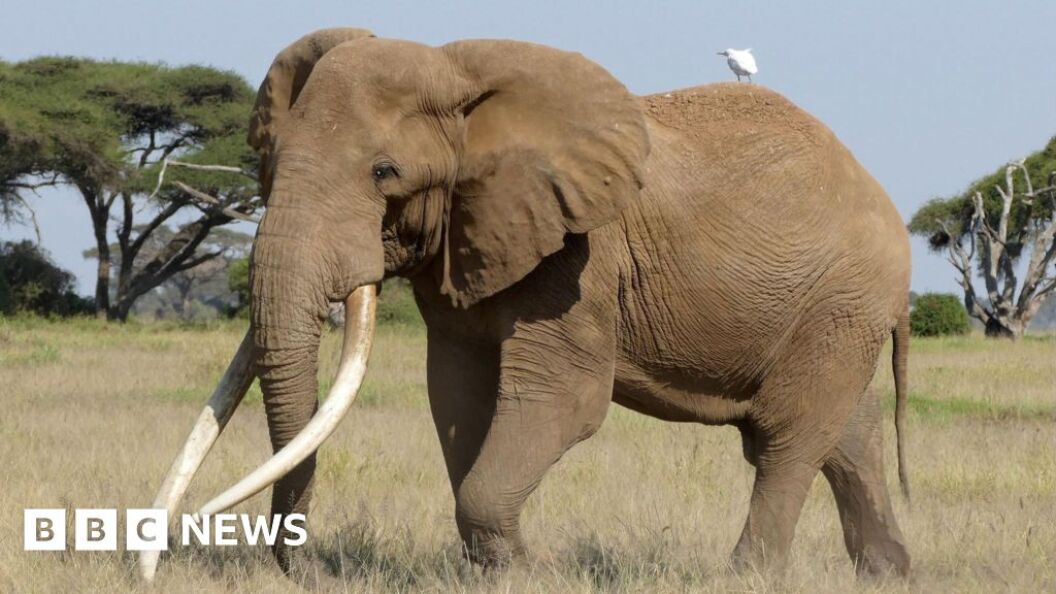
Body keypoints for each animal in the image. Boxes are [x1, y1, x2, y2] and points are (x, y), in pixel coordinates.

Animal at [139, 27, 912, 581]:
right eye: (268, 166)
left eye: (385, 172)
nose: (299, 568)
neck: (458, 79)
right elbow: (459, 395)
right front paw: (499, 570)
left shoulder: (580, 256)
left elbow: (562, 399)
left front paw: (534, 572)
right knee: (848, 433)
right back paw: (888, 574)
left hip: (843, 299)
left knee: (787, 438)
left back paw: (746, 578)